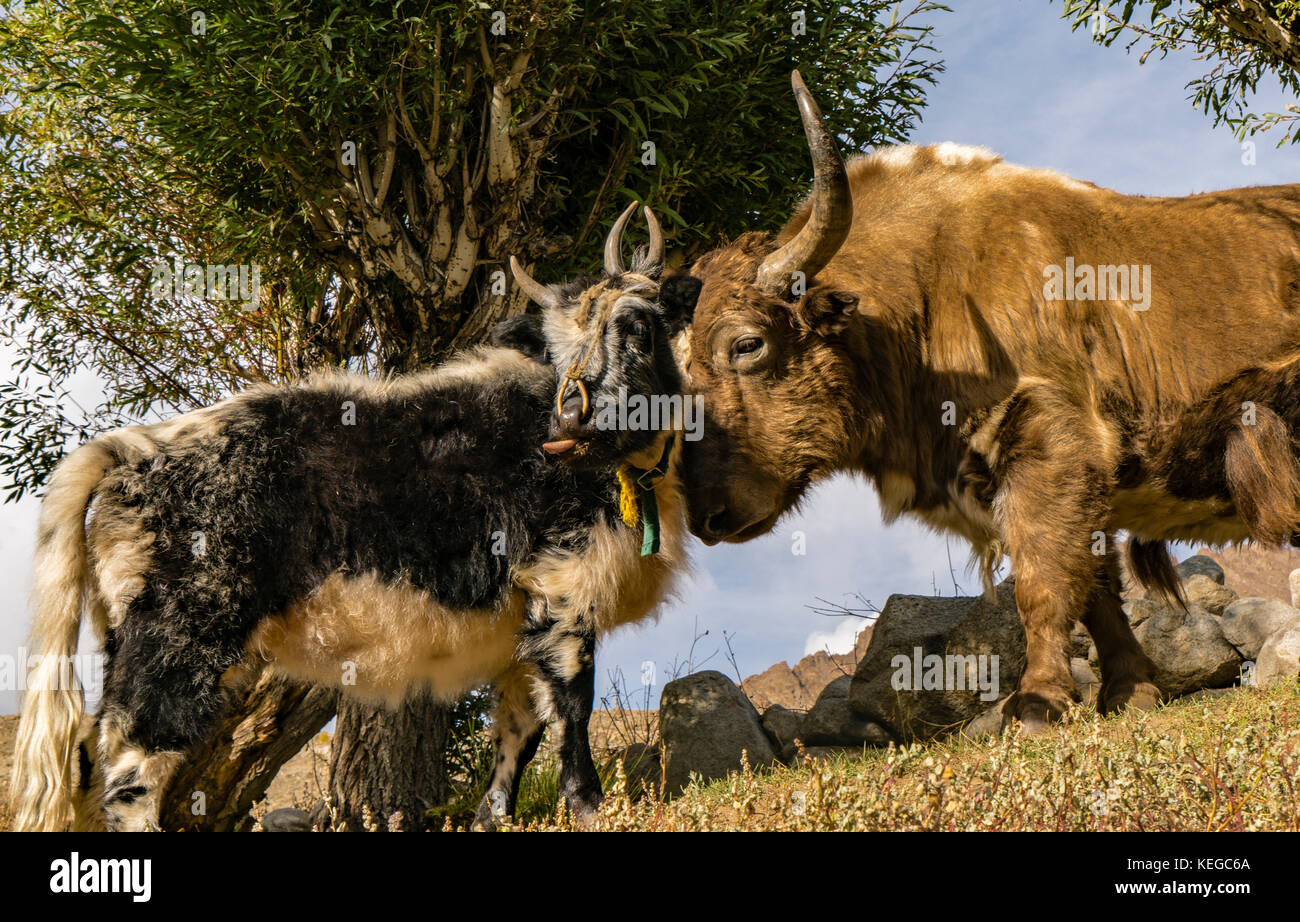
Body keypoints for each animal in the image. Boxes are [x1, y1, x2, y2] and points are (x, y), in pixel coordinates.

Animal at [9, 206, 690, 831]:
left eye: (636, 325)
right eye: (556, 345)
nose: (572, 417)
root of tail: (134, 448)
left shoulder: (522, 623)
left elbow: (518, 729)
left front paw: (489, 819)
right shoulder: (566, 589)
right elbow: (571, 707)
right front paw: (592, 808)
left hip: (129, 638)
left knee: (92, 754)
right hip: (176, 643)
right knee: (130, 763)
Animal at [663, 70, 1300, 733]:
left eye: (747, 343)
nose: (707, 517)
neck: (927, 296)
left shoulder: (1052, 453)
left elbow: (1043, 581)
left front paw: (1038, 703)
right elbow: (1096, 590)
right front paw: (1128, 692)